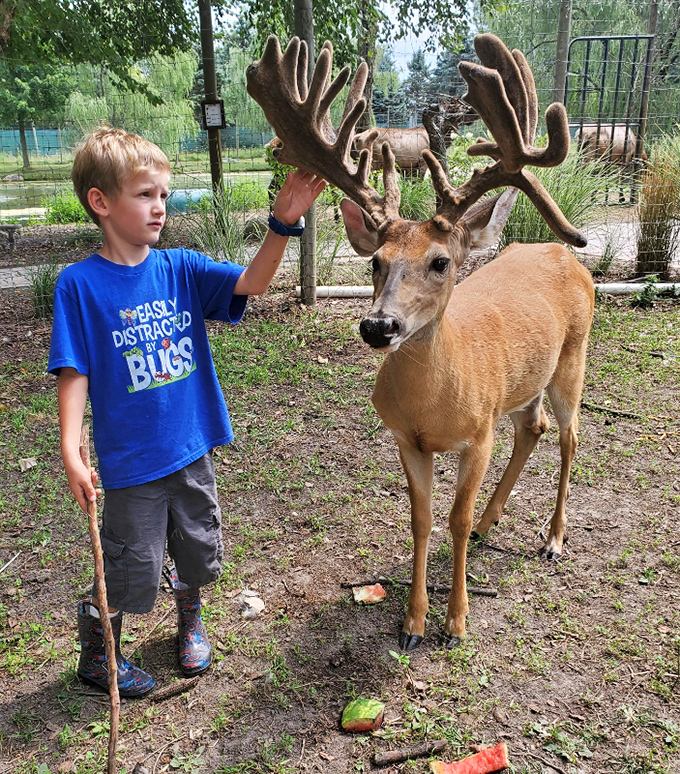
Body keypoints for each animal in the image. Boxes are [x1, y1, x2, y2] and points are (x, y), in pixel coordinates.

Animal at [247, 34, 595, 650]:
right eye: (376, 262)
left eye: (439, 262)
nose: (378, 327)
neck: (434, 407)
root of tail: (563, 254)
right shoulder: (406, 439)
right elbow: (422, 519)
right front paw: (411, 624)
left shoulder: (478, 434)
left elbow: (454, 518)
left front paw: (455, 623)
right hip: (523, 383)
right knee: (533, 428)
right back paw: (493, 522)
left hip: (572, 360)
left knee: (571, 437)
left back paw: (553, 539)